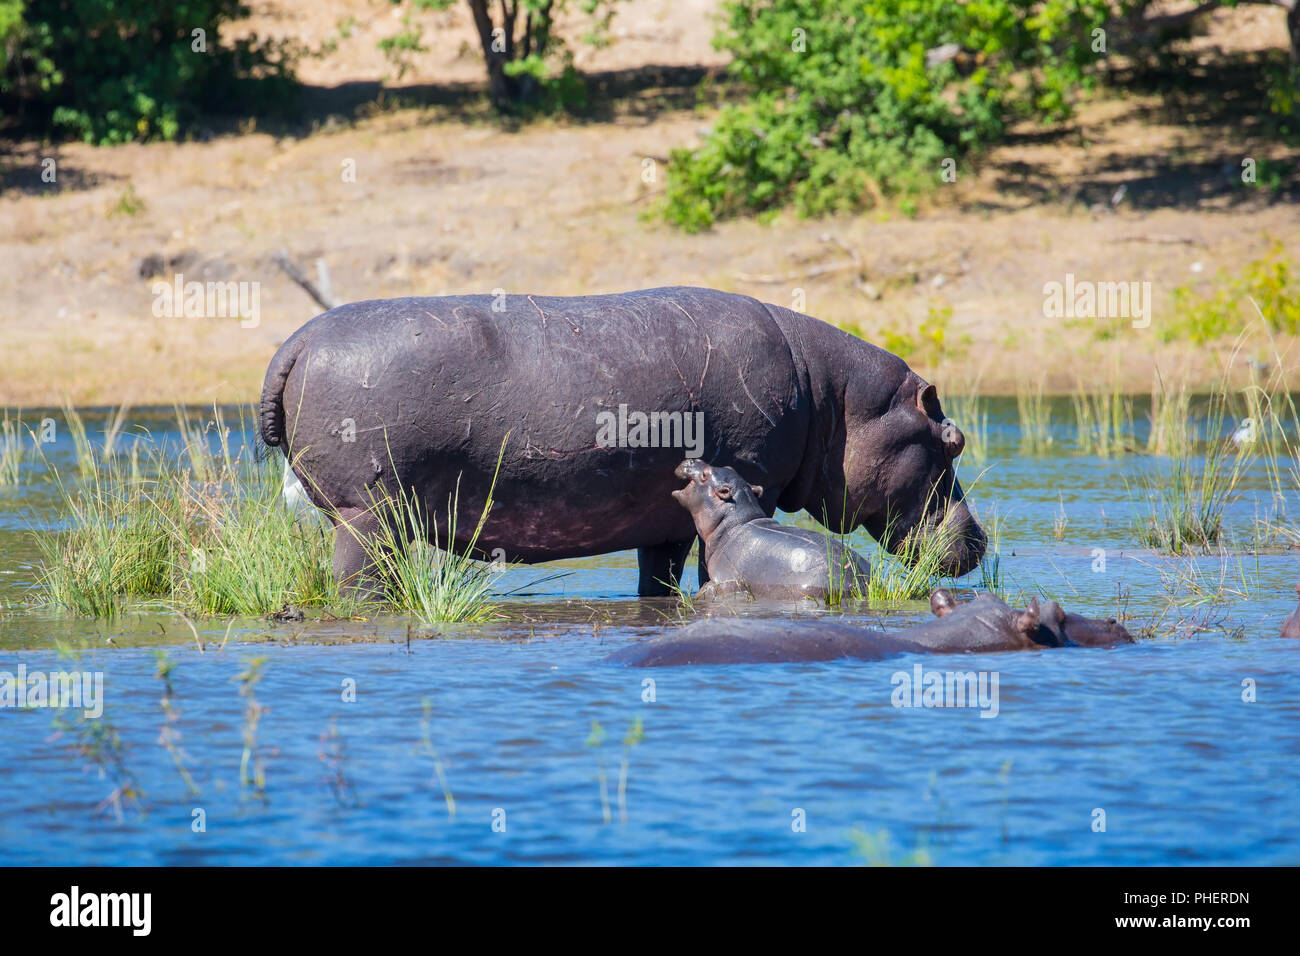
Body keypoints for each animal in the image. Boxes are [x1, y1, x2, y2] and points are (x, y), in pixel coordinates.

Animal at [671, 459, 871, 601]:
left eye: (705, 474)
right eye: (729, 467)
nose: (693, 460)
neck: (735, 522)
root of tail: (859, 581)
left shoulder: (725, 580)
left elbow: (708, 589)